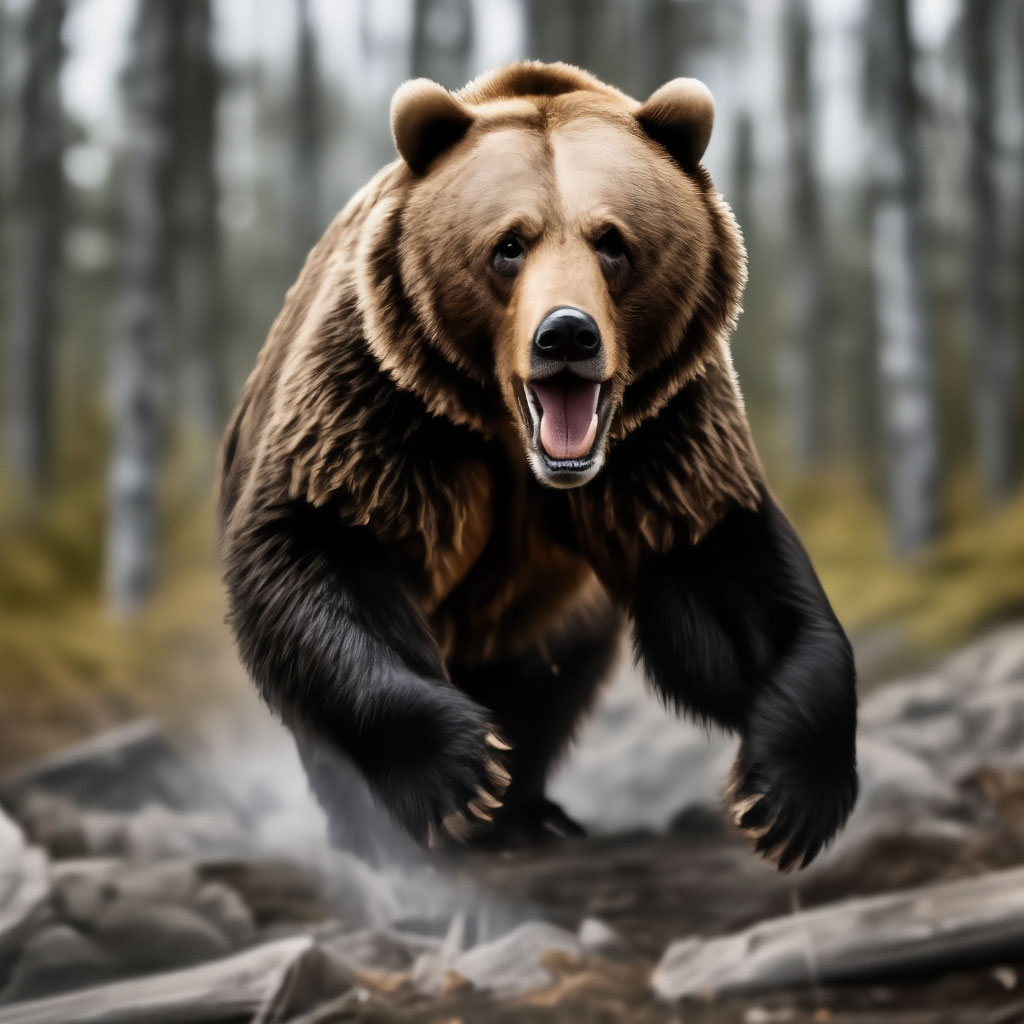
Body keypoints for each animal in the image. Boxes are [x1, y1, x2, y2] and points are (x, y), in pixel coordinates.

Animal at [218, 61, 858, 871]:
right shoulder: (380, 399)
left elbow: (723, 567)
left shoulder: (664, 433)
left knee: (549, 684)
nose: (567, 335)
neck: (516, 441)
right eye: (509, 245)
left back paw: (527, 813)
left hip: (558, 618)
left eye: (613, 242)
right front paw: (457, 767)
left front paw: (787, 794)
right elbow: (323, 544)